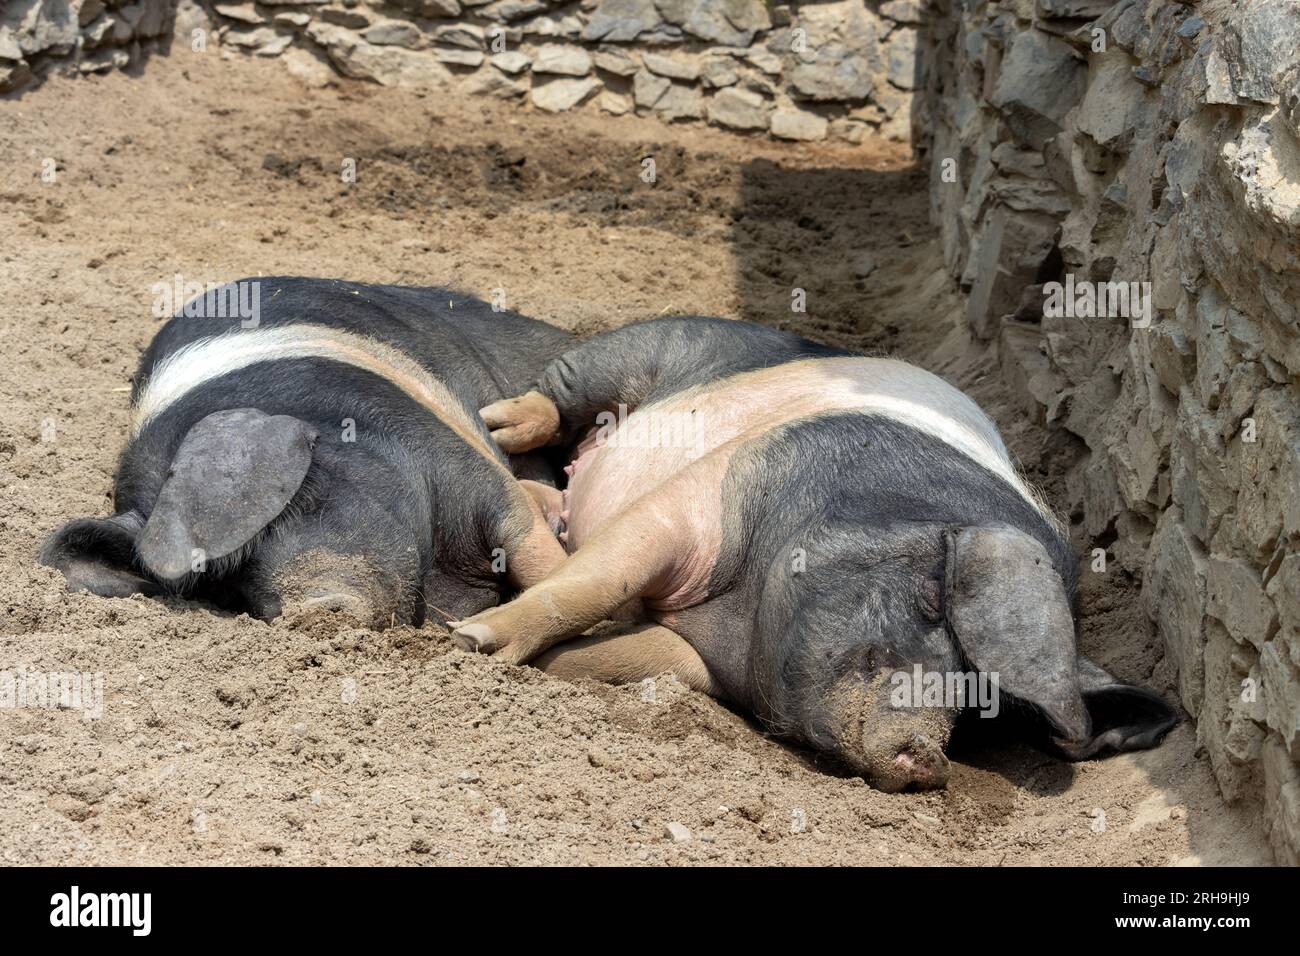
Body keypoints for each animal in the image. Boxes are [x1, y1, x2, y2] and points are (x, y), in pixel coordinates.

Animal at [450, 317, 1179, 791]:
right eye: (929, 607)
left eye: (983, 710)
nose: (930, 757)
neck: (743, 615)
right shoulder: (702, 499)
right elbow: (597, 580)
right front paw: (472, 640)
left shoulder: (707, 656)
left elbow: (632, 657)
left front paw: (546, 658)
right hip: (645, 347)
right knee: (555, 400)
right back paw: (494, 424)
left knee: (549, 494)